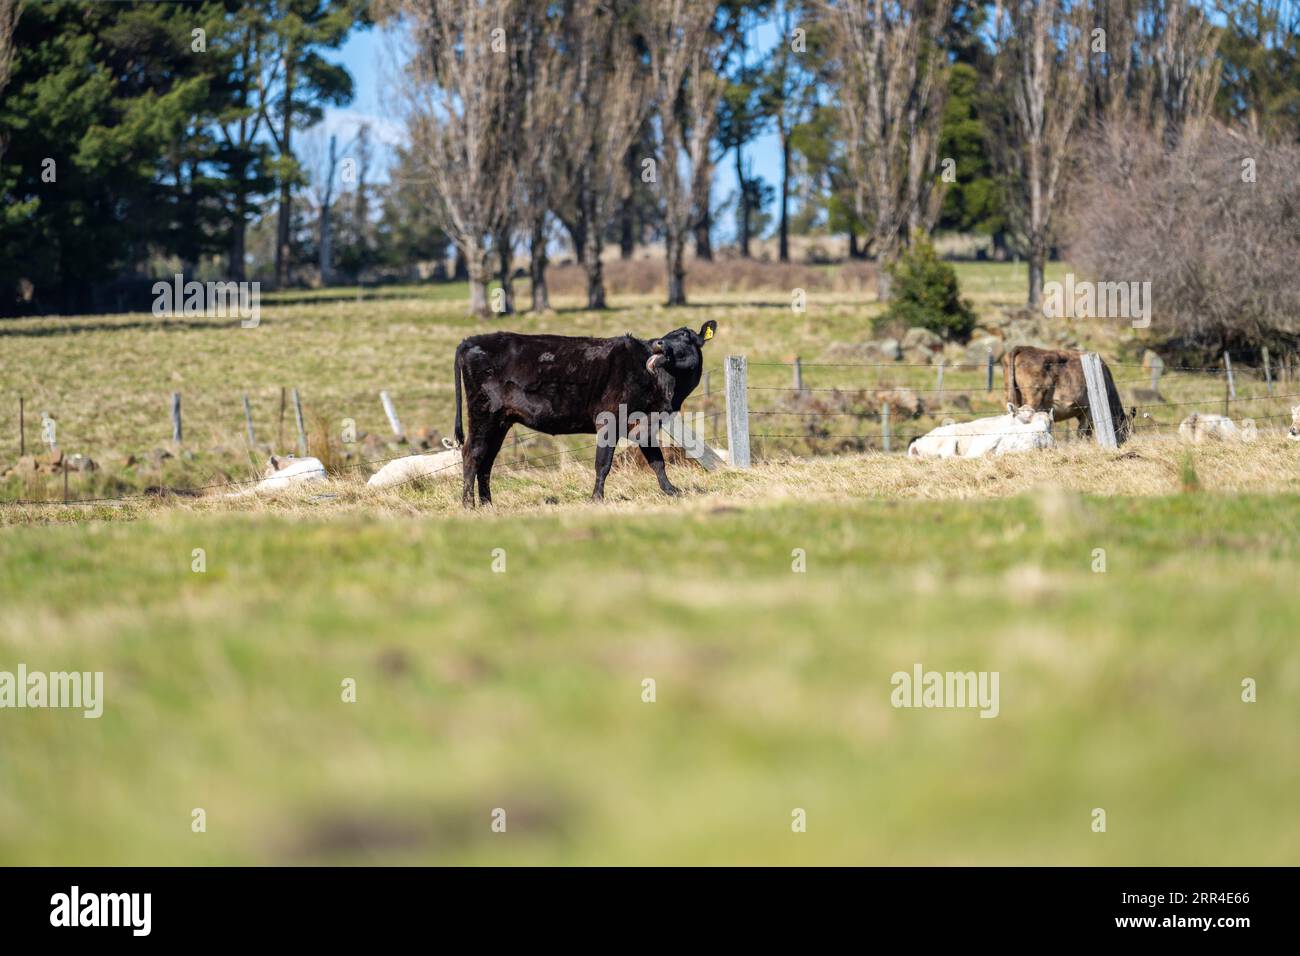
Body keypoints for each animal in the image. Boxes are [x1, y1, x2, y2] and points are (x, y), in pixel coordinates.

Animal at [453, 321, 717, 507]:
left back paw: (487, 504)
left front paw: (671, 491)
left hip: (500, 420)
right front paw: (597, 498)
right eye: (668, 334)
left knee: (487, 460)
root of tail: (471, 340)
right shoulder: (609, 420)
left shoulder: (644, 425)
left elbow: (657, 461)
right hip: (483, 412)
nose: (658, 343)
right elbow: (603, 463)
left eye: (685, 335)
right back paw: (469, 505)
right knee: (472, 453)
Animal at [1004, 346, 1134, 443]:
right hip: (1033, 399)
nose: (1125, 441)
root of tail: (1022, 347)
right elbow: (1084, 431)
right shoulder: (1089, 410)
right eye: (1126, 430)